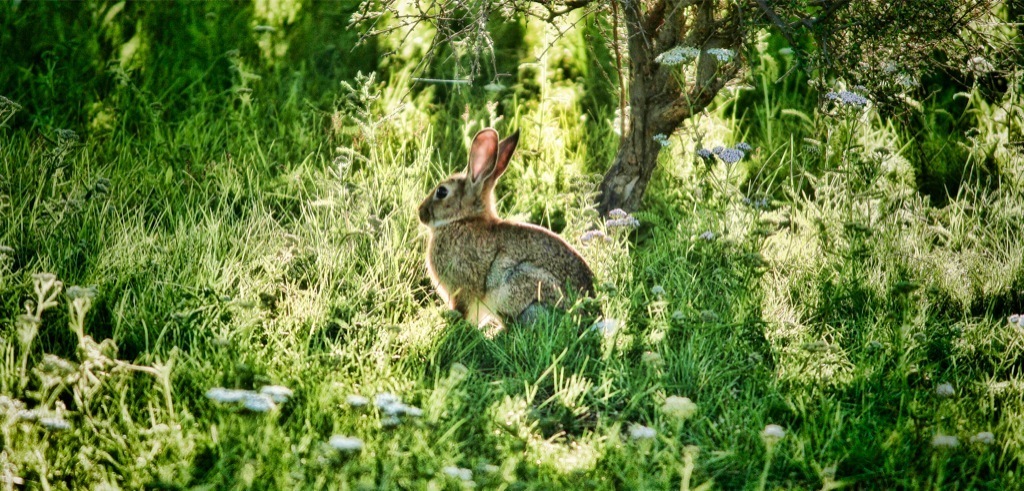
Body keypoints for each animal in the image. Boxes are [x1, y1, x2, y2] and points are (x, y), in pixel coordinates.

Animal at [418, 128, 595, 327]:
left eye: (441, 192)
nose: (420, 212)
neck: (463, 220)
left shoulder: (461, 288)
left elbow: (462, 309)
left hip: (519, 283)